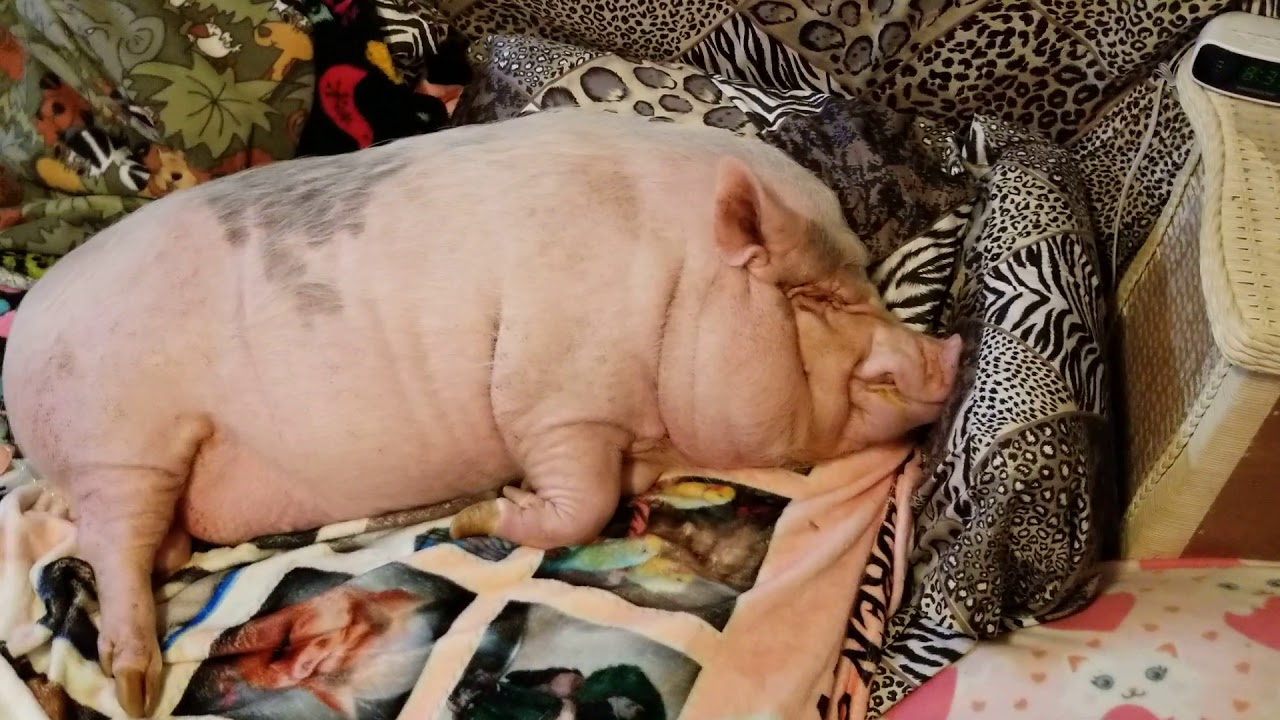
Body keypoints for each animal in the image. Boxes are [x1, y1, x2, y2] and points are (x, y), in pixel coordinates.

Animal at [2, 108, 960, 717]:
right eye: (810, 298)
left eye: (864, 280)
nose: (948, 355)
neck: (674, 287)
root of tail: (22, 348)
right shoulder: (554, 394)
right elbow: (581, 502)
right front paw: (474, 516)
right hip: (121, 443)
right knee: (115, 549)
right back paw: (133, 686)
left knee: (145, 542)